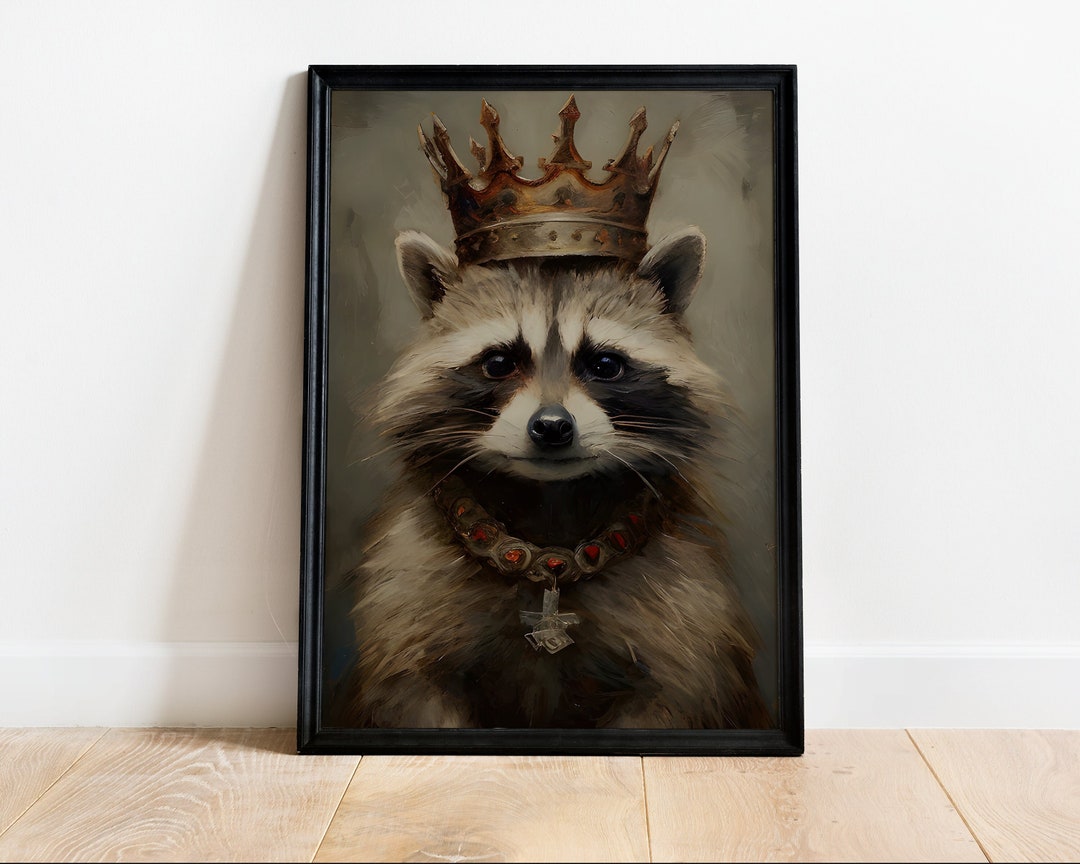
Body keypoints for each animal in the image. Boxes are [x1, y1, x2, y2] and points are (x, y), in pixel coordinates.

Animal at [332, 226, 772, 730]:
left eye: (605, 364)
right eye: (499, 362)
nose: (552, 427)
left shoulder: (688, 621)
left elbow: (674, 697)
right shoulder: (408, 605)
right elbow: (413, 695)